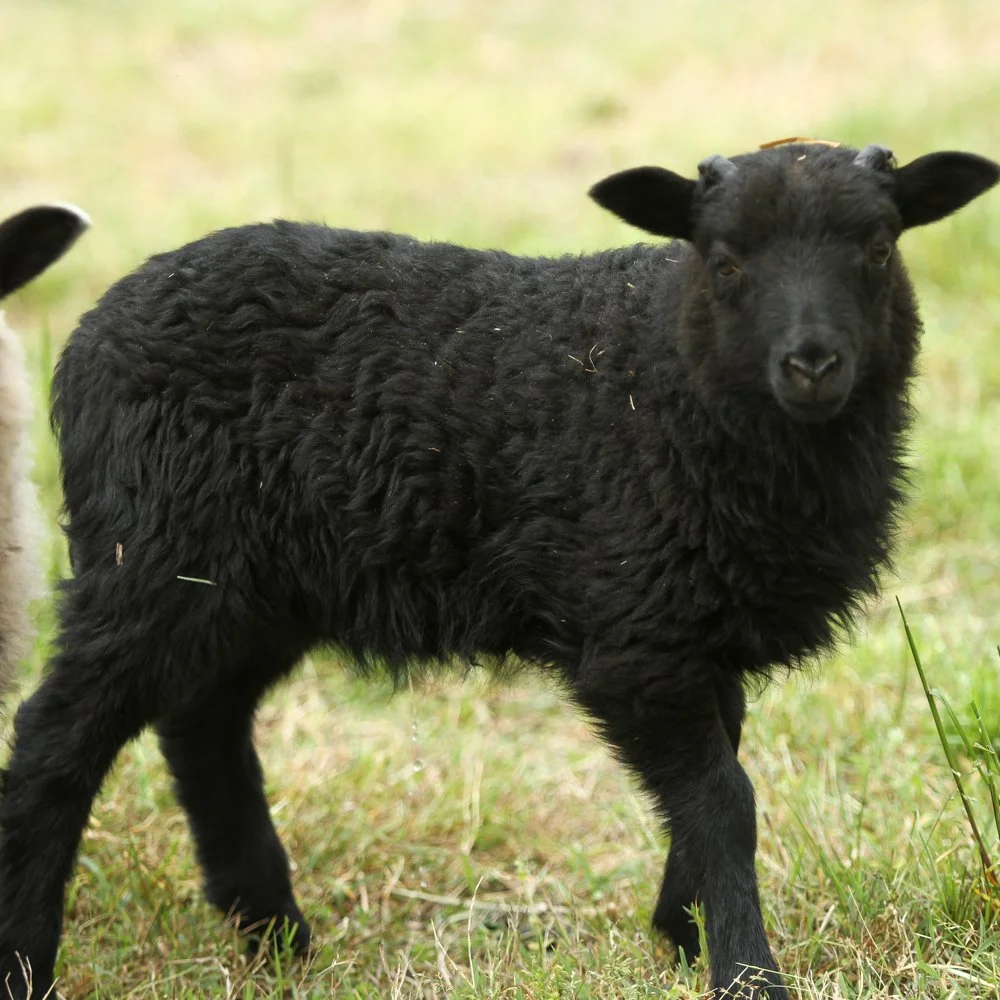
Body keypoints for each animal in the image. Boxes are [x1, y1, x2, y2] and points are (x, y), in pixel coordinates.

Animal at [0, 142, 997, 1000]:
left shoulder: (690, 626)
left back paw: (276, 938)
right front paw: (745, 972)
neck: (665, 381)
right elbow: (726, 802)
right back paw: (28, 958)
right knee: (57, 739)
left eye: (878, 247)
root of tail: (94, 328)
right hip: (150, 561)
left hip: (253, 589)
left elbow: (718, 780)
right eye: (723, 262)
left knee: (204, 727)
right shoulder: (634, 634)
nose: (813, 364)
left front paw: (679, 934)